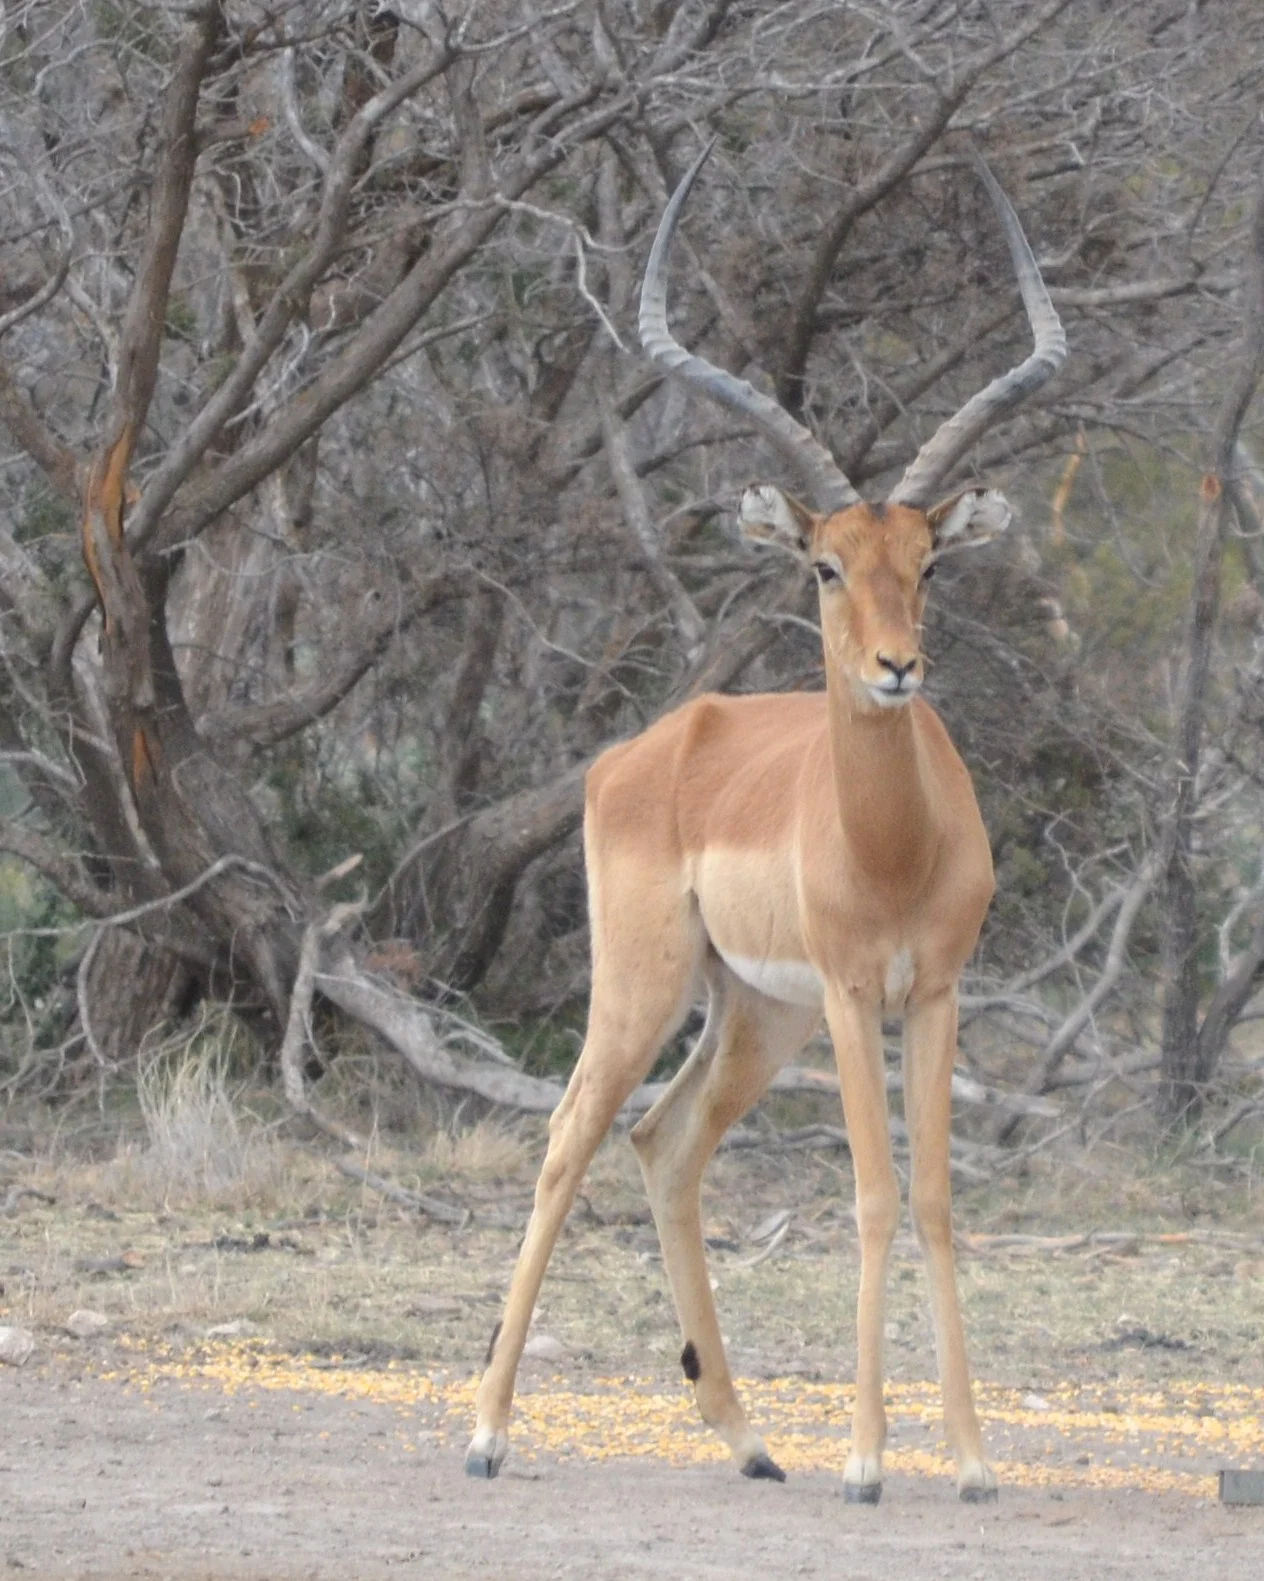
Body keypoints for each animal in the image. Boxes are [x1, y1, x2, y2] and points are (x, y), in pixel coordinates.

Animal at [466, 144, 1065, 1502]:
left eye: (928, 564)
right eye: (825, 565)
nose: (897, 668)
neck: (891, 850)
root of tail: (649, 745)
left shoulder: (932, 993)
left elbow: (935, 1196)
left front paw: (968, 1459)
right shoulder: (851, 993)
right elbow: (873, 1193)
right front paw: (867, 1460)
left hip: (751, 1009)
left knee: (664, 1142)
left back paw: (745, 1439)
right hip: (651, 984)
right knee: (570, 1134)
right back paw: (485, 1434)